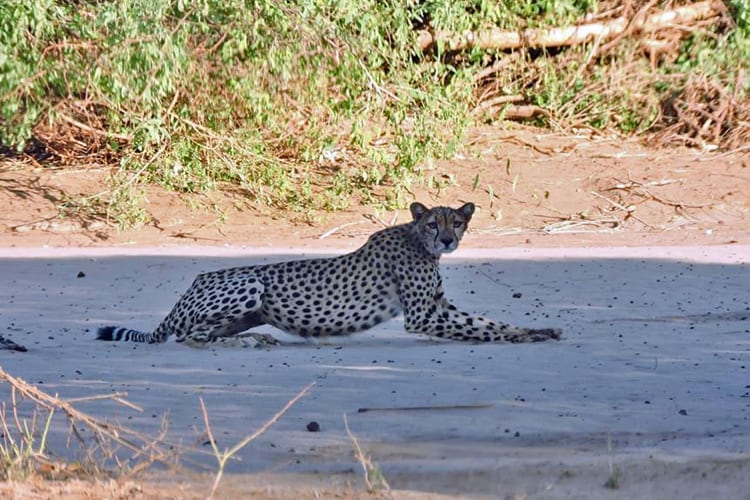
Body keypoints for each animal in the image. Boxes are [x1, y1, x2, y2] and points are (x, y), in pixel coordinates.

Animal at [96, 202, 561, 348]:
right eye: (433, 223)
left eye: (458, 223)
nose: (448, 240)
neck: (417, 240)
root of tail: (191, 285)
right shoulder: (424, 315)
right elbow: (485, 330)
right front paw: (523, 339)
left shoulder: (437, 306)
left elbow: (489, 322)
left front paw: (538, 331)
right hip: (251, 283)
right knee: (190, 337)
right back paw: (248, 344)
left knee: (204, 333)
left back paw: (257, 337)